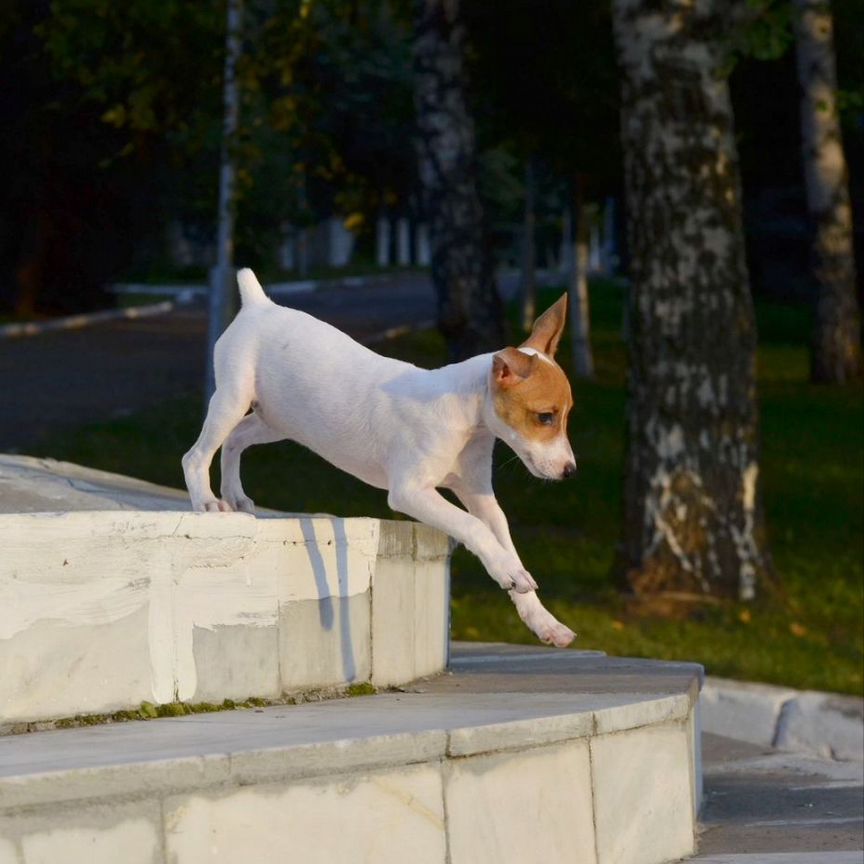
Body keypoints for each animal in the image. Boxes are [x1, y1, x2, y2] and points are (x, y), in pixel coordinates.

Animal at [181, 268, 572, 640]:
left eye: (567, 415)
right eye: (545, 417)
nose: (570, 471)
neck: (465, 417)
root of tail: (260, 305)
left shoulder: (479, 496)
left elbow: (501, 537)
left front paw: (542, 618)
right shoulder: (410, 492)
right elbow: (470, 526)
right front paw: (508, 571)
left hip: (277, 421)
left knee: (234, 440)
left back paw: (235, 495)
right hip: (233, 398)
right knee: (197, 454)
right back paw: (207, 500)